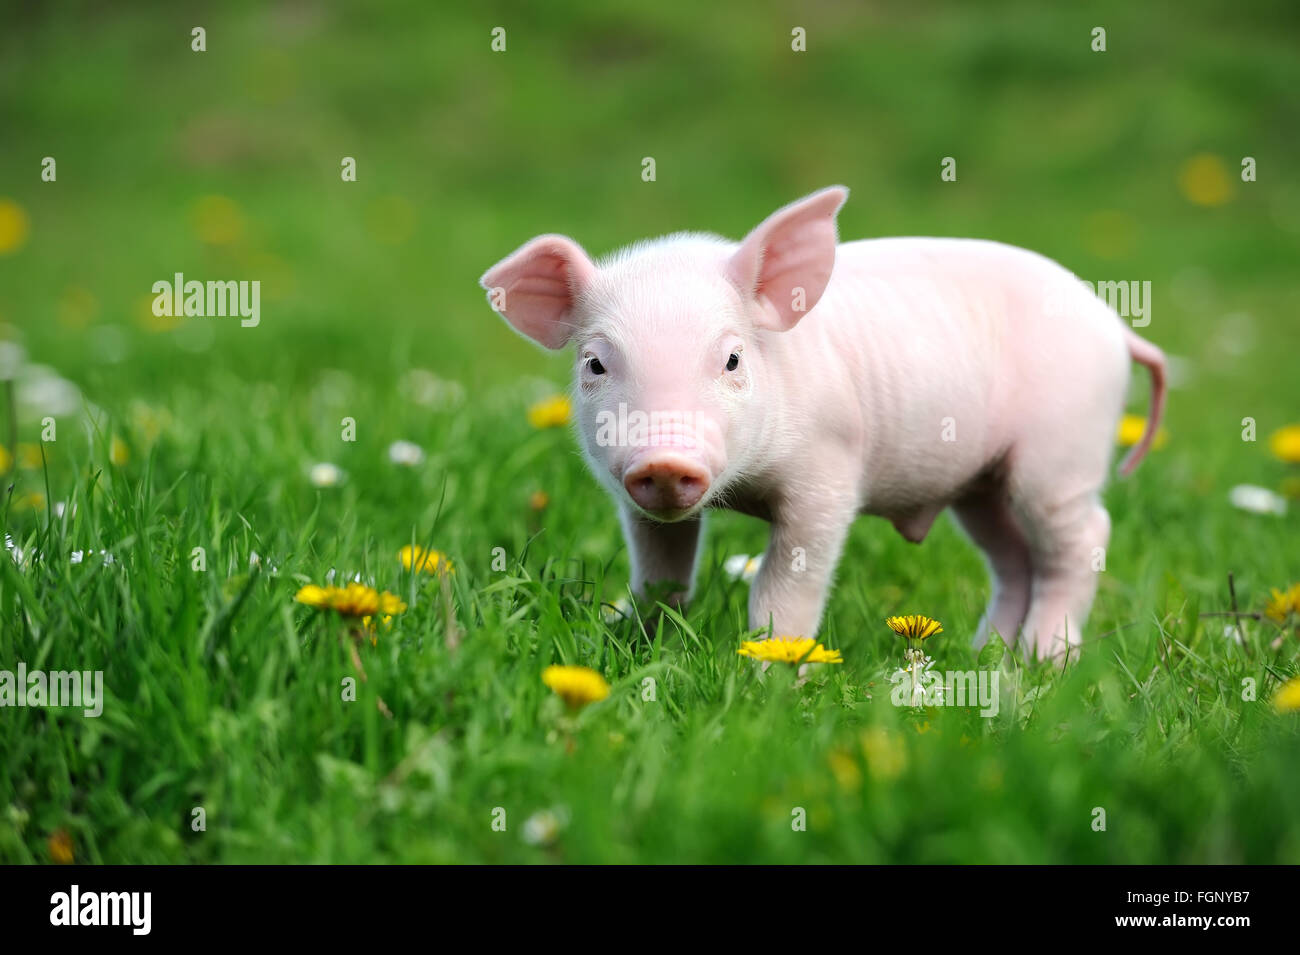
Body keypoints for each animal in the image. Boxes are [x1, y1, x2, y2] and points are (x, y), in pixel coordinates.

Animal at [480, 187, 1167, 660]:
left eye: (732, 359)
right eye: (595, 362)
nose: (665, 460)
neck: (743, 488)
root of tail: (1116, 326)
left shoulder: (828, 473)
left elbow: (784, 587)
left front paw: (771, 672)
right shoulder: (638, 504)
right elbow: (660, 575)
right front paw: (628, 639)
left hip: (1061, 453)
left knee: (1083, 538)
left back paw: (1043, 661)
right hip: (981, 483)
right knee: (1014, 558)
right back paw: (985, 658)